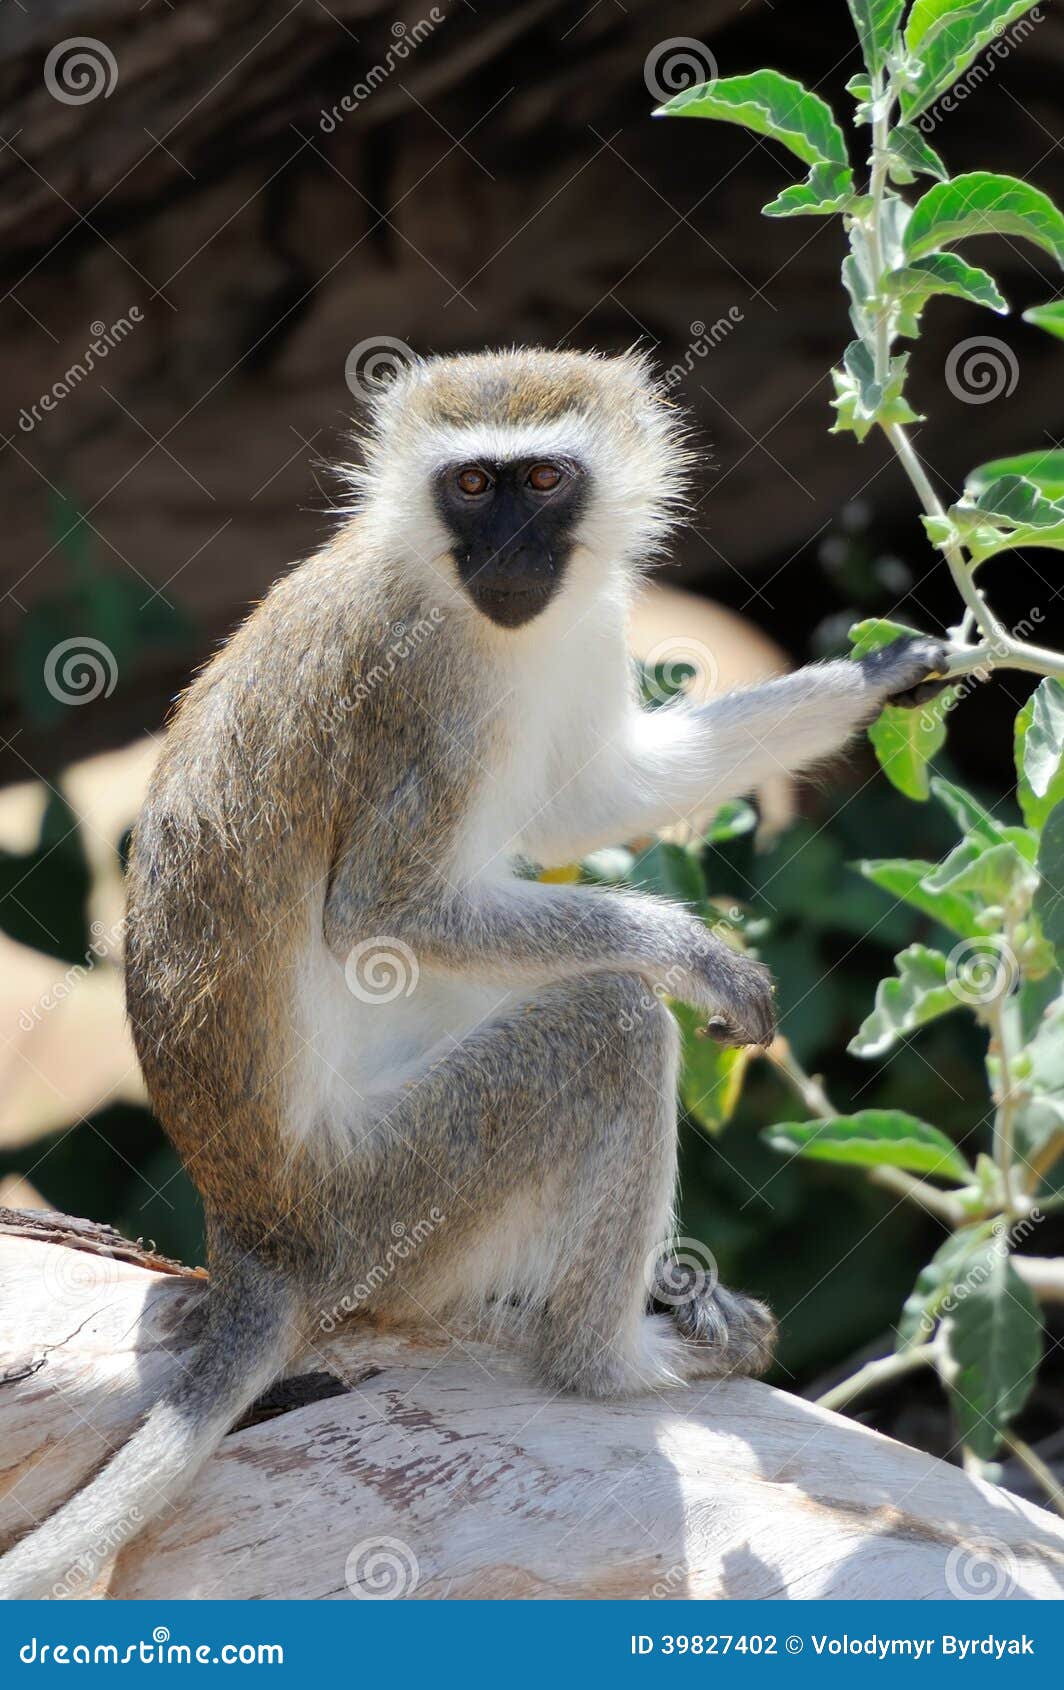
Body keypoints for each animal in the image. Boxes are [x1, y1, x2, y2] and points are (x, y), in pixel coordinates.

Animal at [0, 347, 947, 1598]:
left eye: (542, 479)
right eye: (470, 487)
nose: (504, 555)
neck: (465, 606)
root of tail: (256, 1240)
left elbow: (595, 798)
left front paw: (876, 676)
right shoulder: (425, 693)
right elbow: (384, 911)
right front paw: (696, 956)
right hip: (391, 1203)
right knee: (606, 1026)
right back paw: (609, 1359)